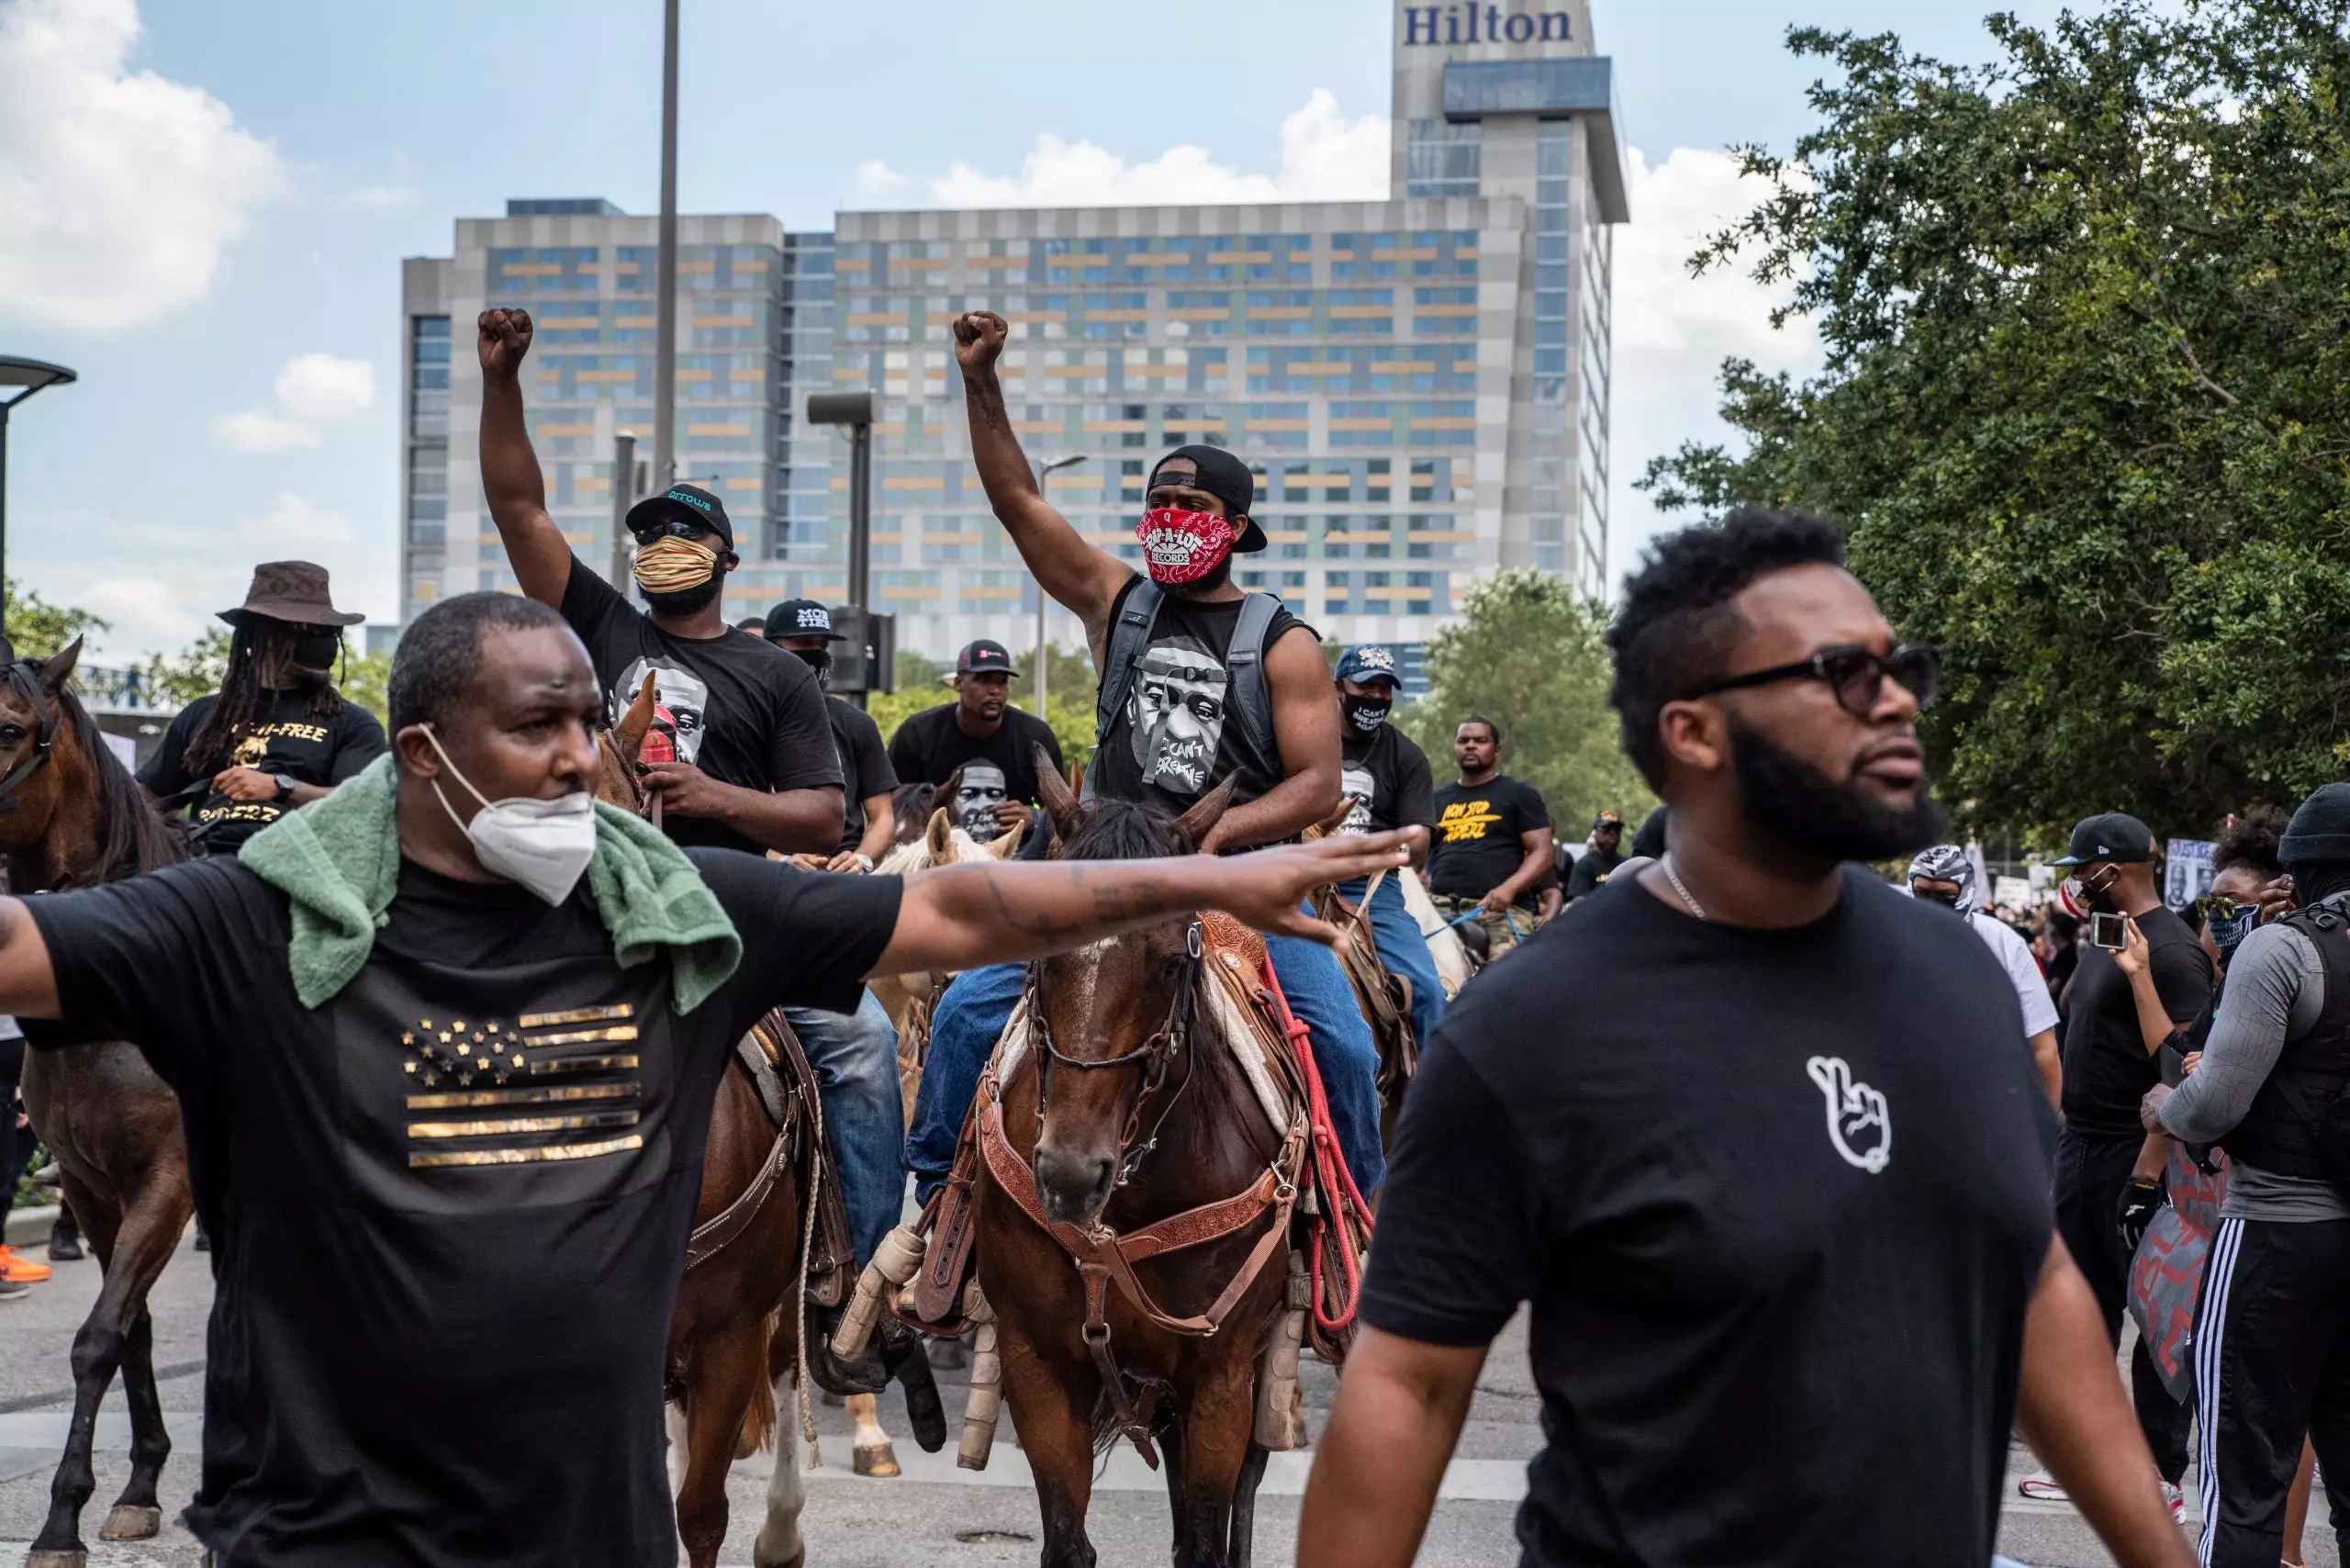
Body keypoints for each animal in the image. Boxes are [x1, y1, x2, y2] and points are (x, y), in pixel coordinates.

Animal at [972, 770, 1306, 1568]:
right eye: (1039, 948)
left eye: (1171, 962)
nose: (1069, 1173)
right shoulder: (1037, 1366)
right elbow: (1067, 1541)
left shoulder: (1222, 1378)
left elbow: (1209, 1537)